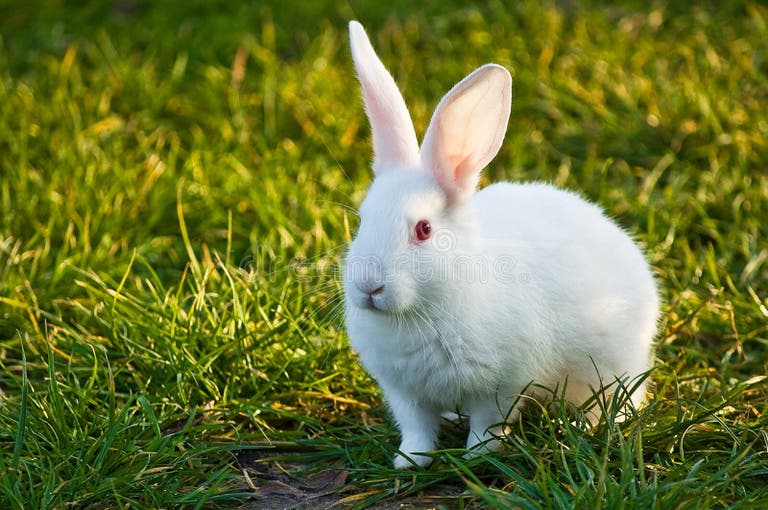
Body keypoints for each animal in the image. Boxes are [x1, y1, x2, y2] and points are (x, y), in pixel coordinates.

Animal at [342, 21, 659, 469]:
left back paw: (578, 427)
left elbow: (488, 423)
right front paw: (410, 461)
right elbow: (418, 428)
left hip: (611, 367)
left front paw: (477, 456)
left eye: (423, 229)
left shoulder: (502, 384)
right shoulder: (404, 393)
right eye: (362, 219)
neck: (423, 308)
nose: (369, 287)